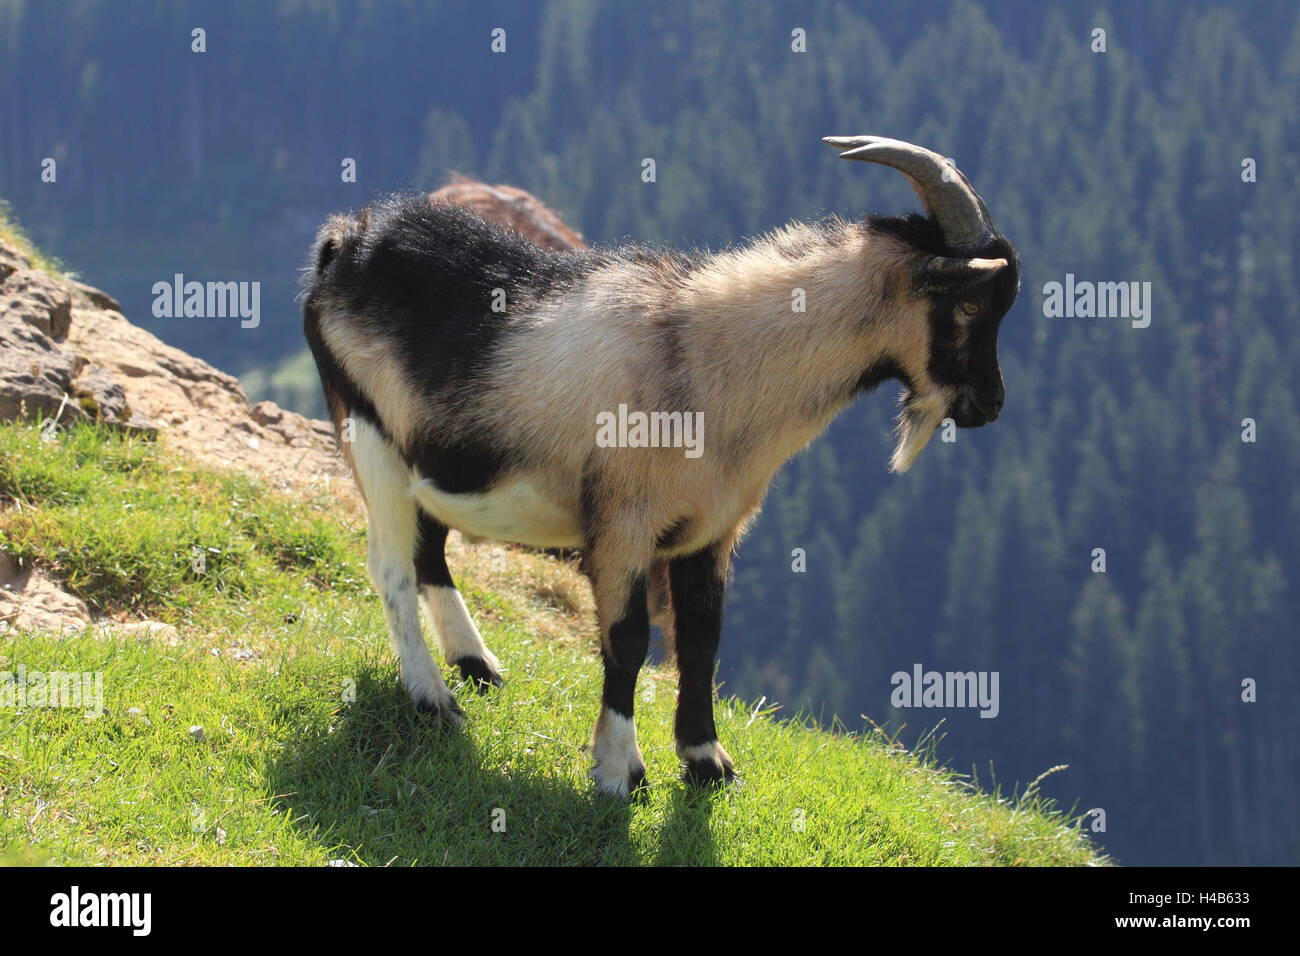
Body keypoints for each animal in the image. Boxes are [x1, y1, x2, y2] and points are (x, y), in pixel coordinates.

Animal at [302, 135, 1020, 796]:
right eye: (969, 304)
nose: (990, 405)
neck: (702, 360)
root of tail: (345, 242)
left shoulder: (713, 529)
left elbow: (701, 641)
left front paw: (706, 760)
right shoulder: (625, 524)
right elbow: (627, 641)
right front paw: (620, 771)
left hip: (433, 464)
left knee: (430, 551)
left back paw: (477, 665)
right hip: (368, 433)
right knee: (390, 565)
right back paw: (431, 697)